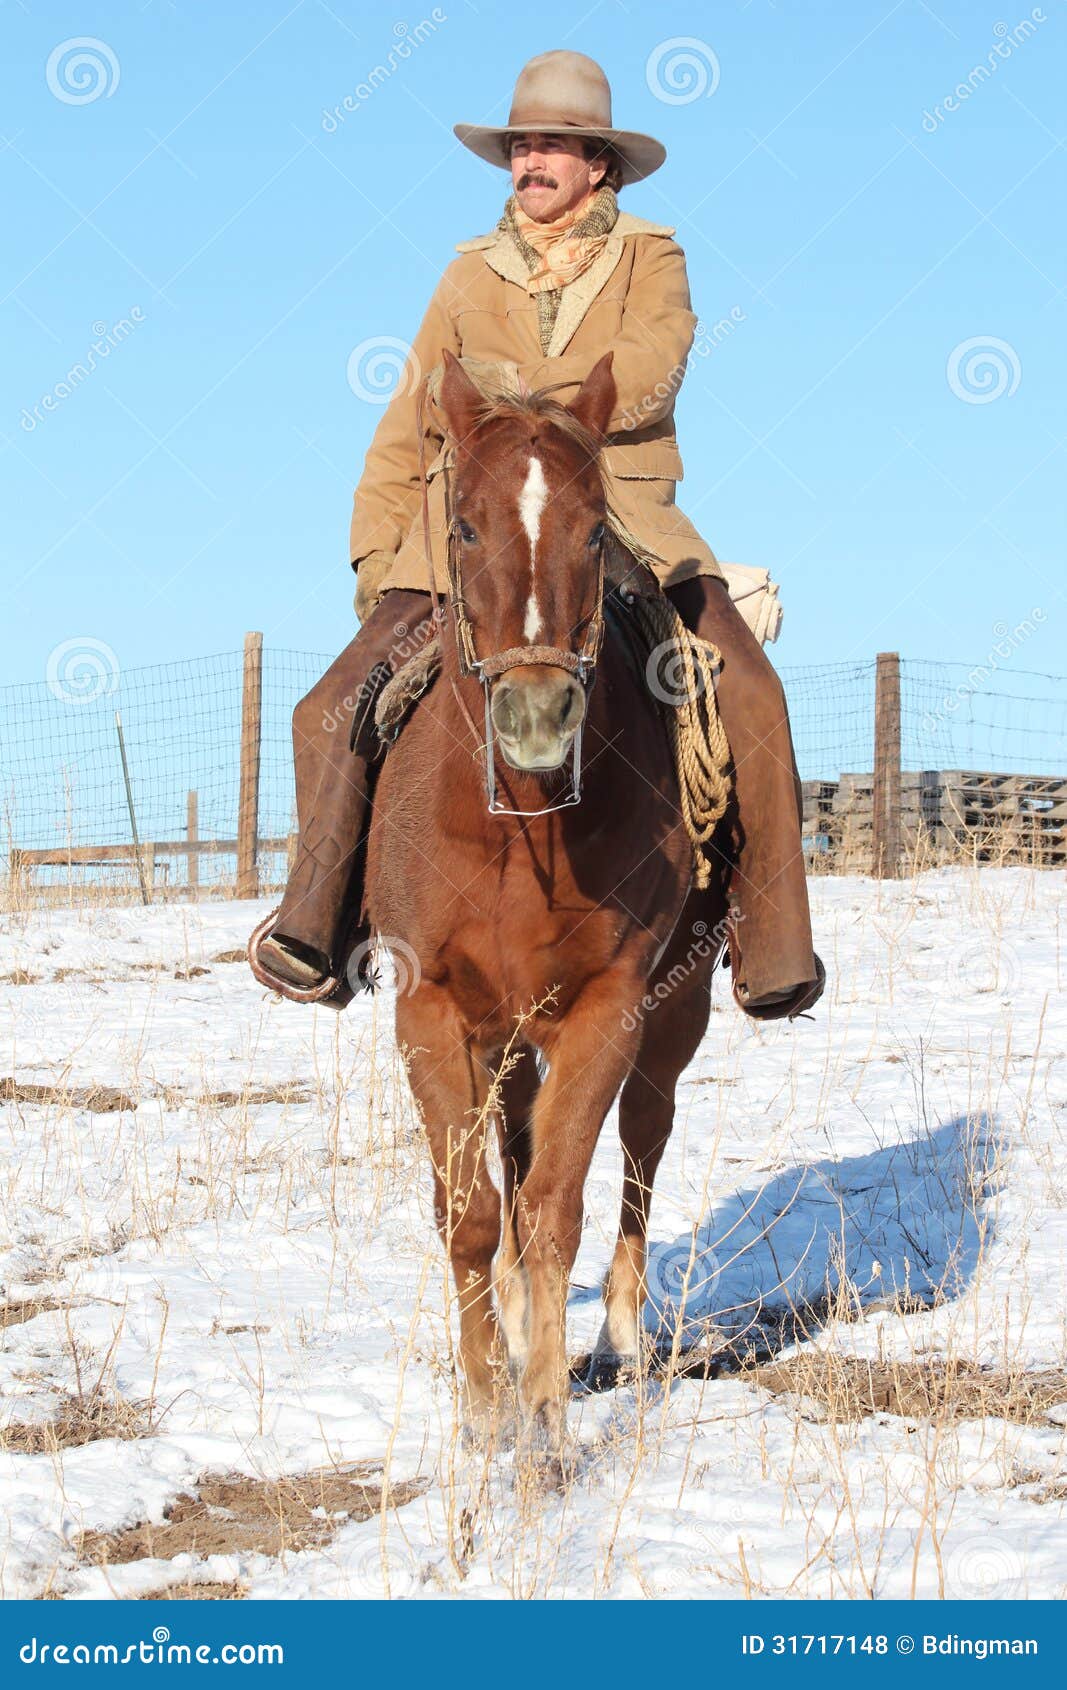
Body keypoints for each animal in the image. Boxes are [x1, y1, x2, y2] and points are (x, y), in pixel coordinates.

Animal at [365, 349, 730, 1477]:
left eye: (593, 530)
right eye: (465, 526)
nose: (534, 717)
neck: (515, 825)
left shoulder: (605, 1011)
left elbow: (557, 1206)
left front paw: (548, 1428)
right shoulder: (432, 1013)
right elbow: (475, 1215)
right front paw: (488, 1408)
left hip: (671, 1013)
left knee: (643, 1146)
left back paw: (615, 1336)